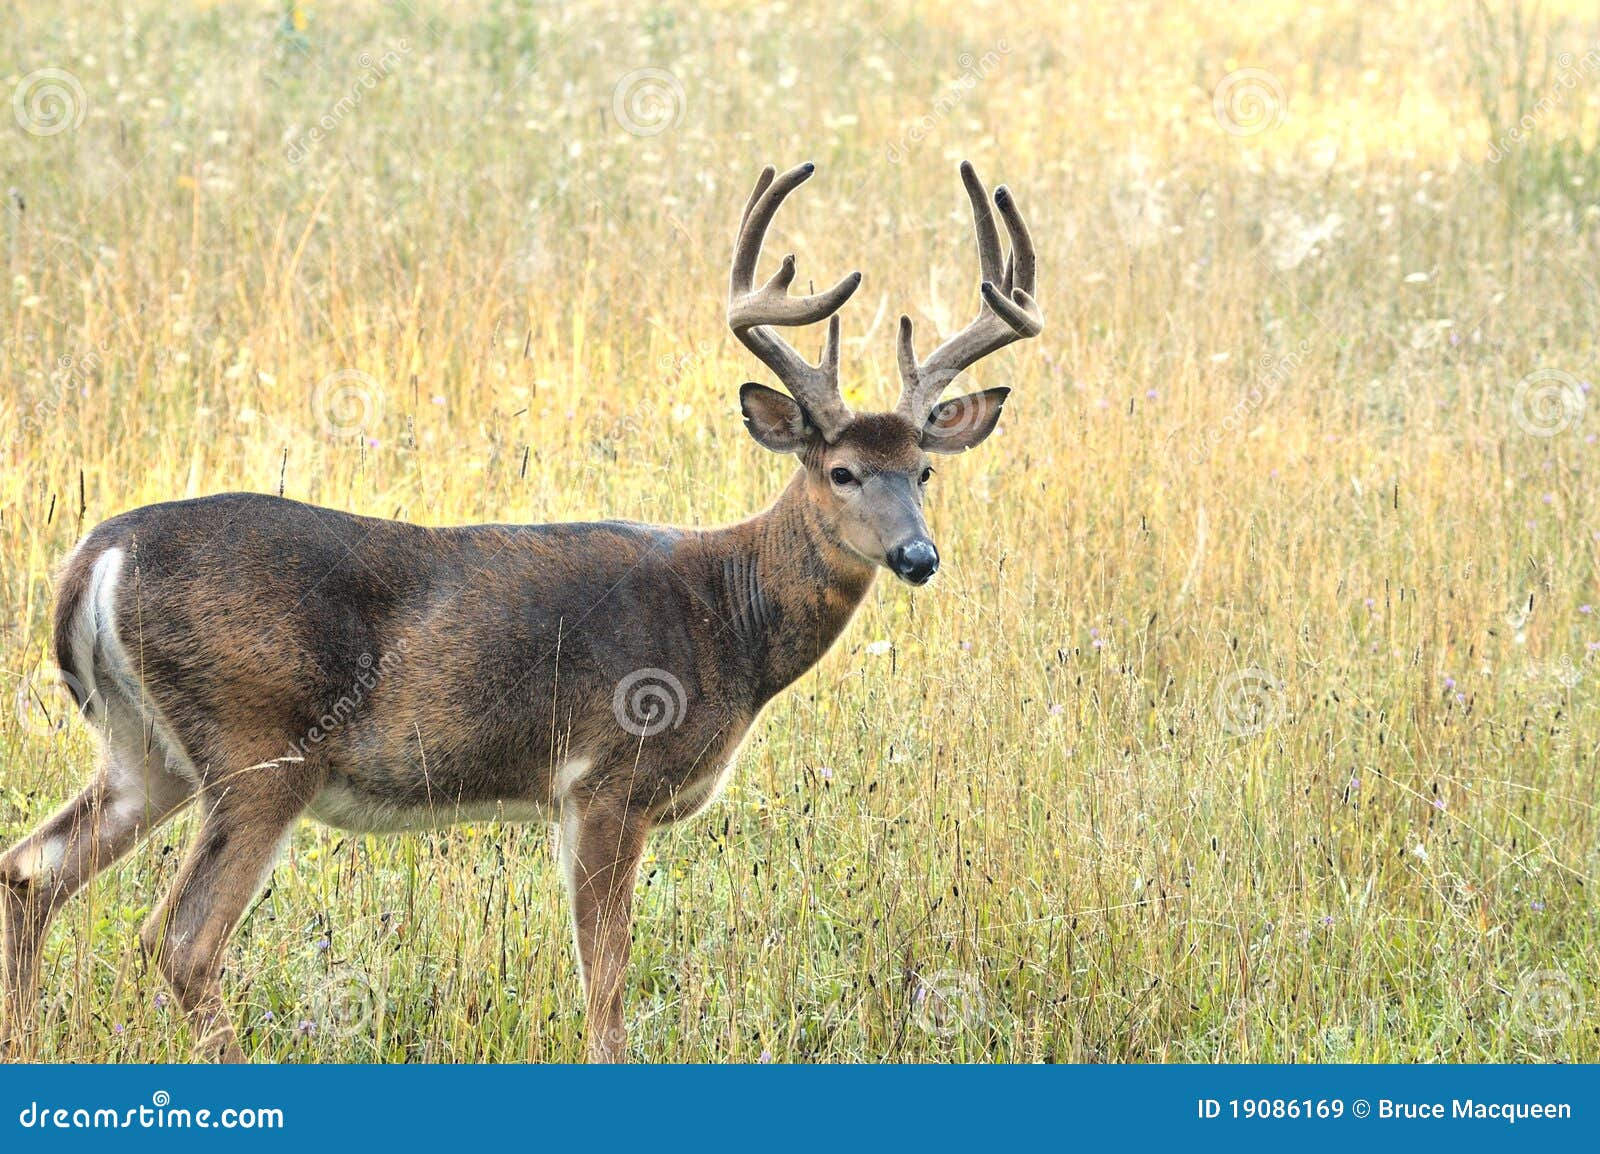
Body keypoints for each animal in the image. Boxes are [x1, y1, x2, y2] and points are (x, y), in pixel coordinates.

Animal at [0, 160, 1041, 1063]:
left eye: (924, 470)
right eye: (842, 471)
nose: (917, 556)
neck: (729, 618)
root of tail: (98, 557)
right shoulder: (609, 779)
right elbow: (607, 982)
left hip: (146, 750)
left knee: (31, 873)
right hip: (258, 745)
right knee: (177, 938)